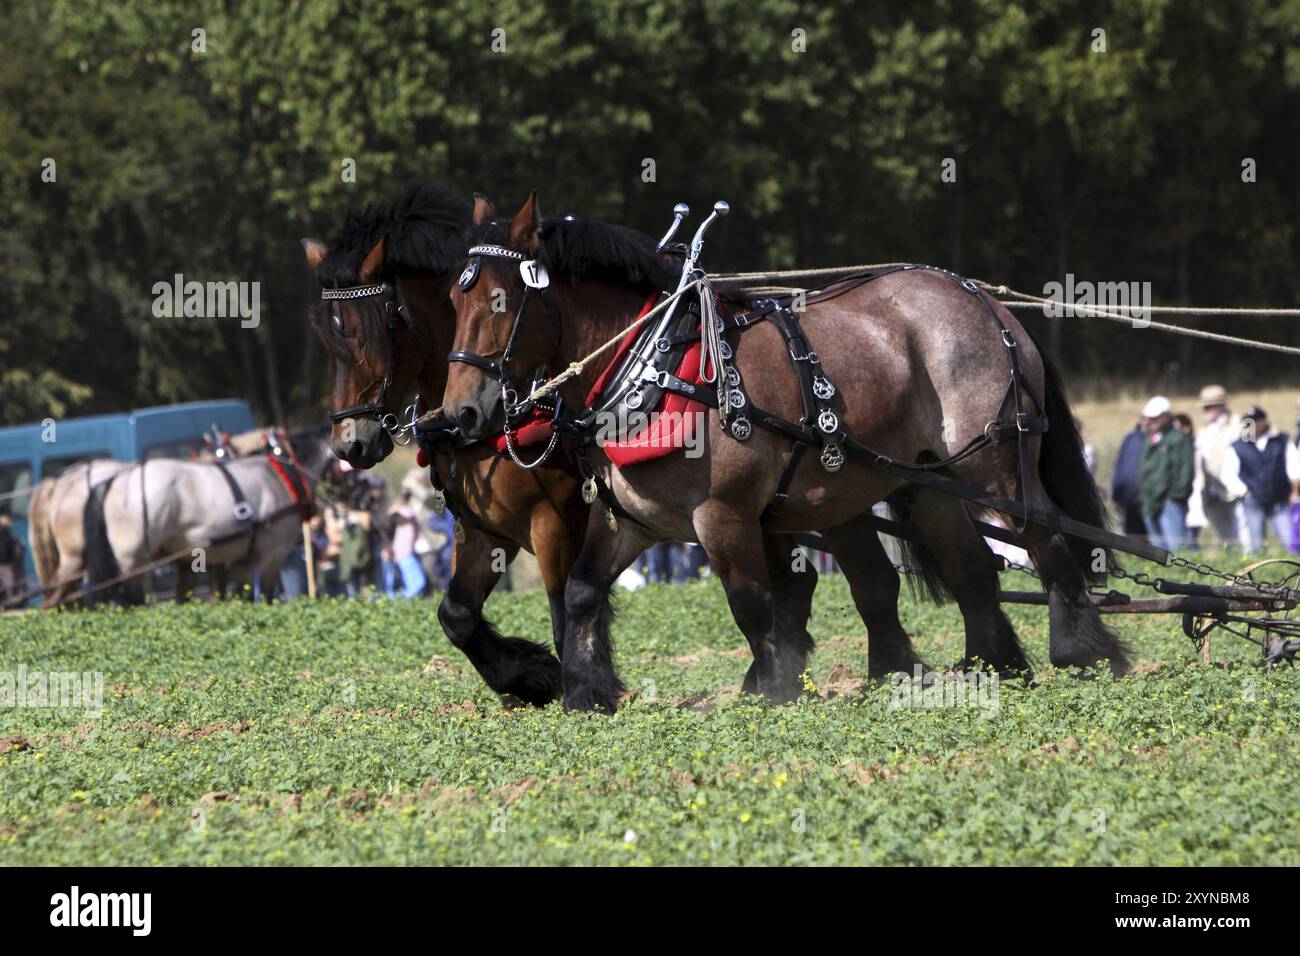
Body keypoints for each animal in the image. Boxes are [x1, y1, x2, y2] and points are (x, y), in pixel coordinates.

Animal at [80, 428, 332, 605]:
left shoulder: (217, 562)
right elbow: (261, 597)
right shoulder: (270, 555)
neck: (280, 474)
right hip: (130, 560)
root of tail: (113, 480)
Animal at [440, 193, 1127, 712]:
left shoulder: (724, 516)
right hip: (924, 481)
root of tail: (987, 305)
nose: (460, 414)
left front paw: (774, 691)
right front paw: (585, 695)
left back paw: (1083, 655)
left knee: (1046, 539)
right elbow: (582, 593)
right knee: (972, 571)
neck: (654, 362)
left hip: (993, 463)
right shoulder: (628, 519)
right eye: (453, 299)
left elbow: (752, 605)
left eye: (501, 301)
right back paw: (994, 669)